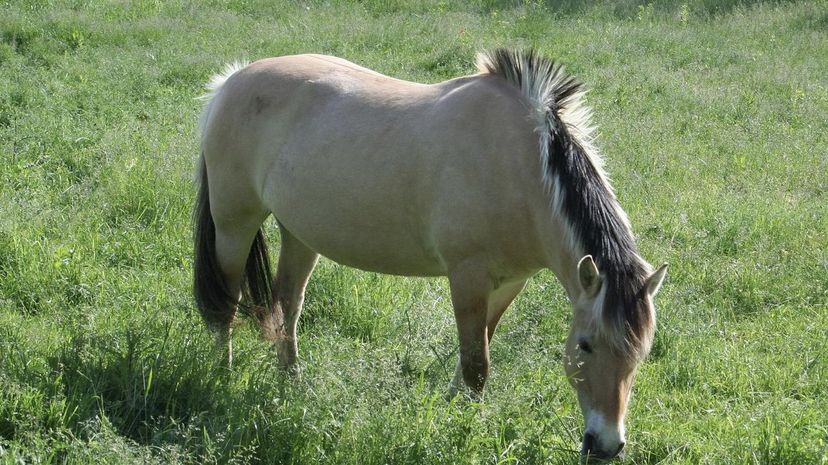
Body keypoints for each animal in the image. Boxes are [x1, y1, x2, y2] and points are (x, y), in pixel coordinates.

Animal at [192, 49, 668, 458]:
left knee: (287, 305)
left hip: (299, 233)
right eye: (586, 345)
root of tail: (230, 81)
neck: (522, 167)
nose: (606, 446)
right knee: (227, 307)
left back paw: (291, 385)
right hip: (234, 225)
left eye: (641, 353)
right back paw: (223, 377)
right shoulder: (467, 275)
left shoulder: (509, 282)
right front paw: (464, 430)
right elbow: (477, 364)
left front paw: (455, 409)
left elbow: (479, 350)